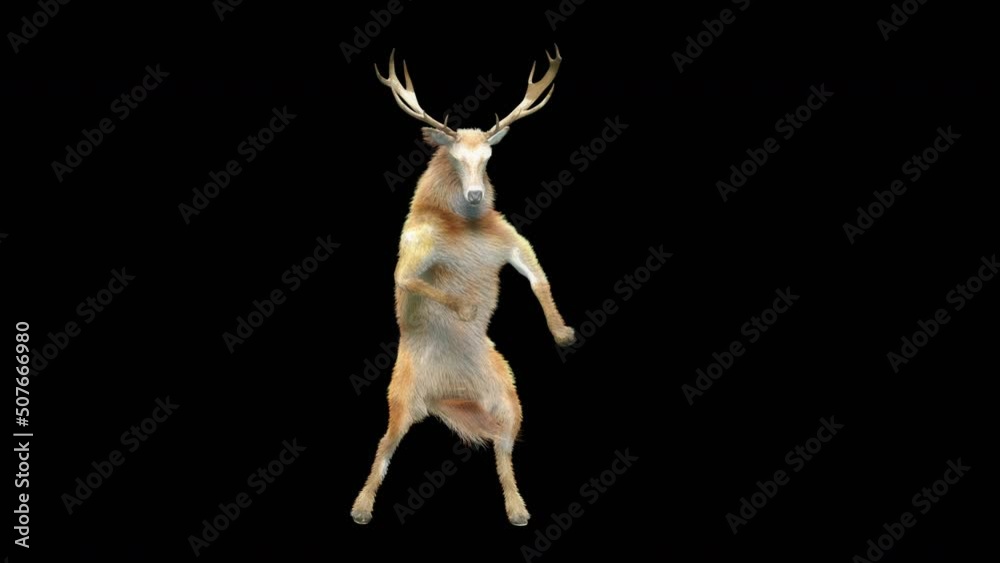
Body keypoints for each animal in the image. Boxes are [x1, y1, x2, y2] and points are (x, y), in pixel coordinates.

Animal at [351, 47, 576, 526]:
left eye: (488, 159)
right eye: (454, 157)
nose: (475, 196)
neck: (465, 228)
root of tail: (447, 396)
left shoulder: (513, 243)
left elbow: (539, 279)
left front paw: (563, 333)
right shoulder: (412, 252)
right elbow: (412, 279)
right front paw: (467, 308)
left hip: (508, 398)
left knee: (503, 448)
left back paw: (517, 508)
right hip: (400, 399)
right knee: (384, 447)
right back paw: (361, 506)